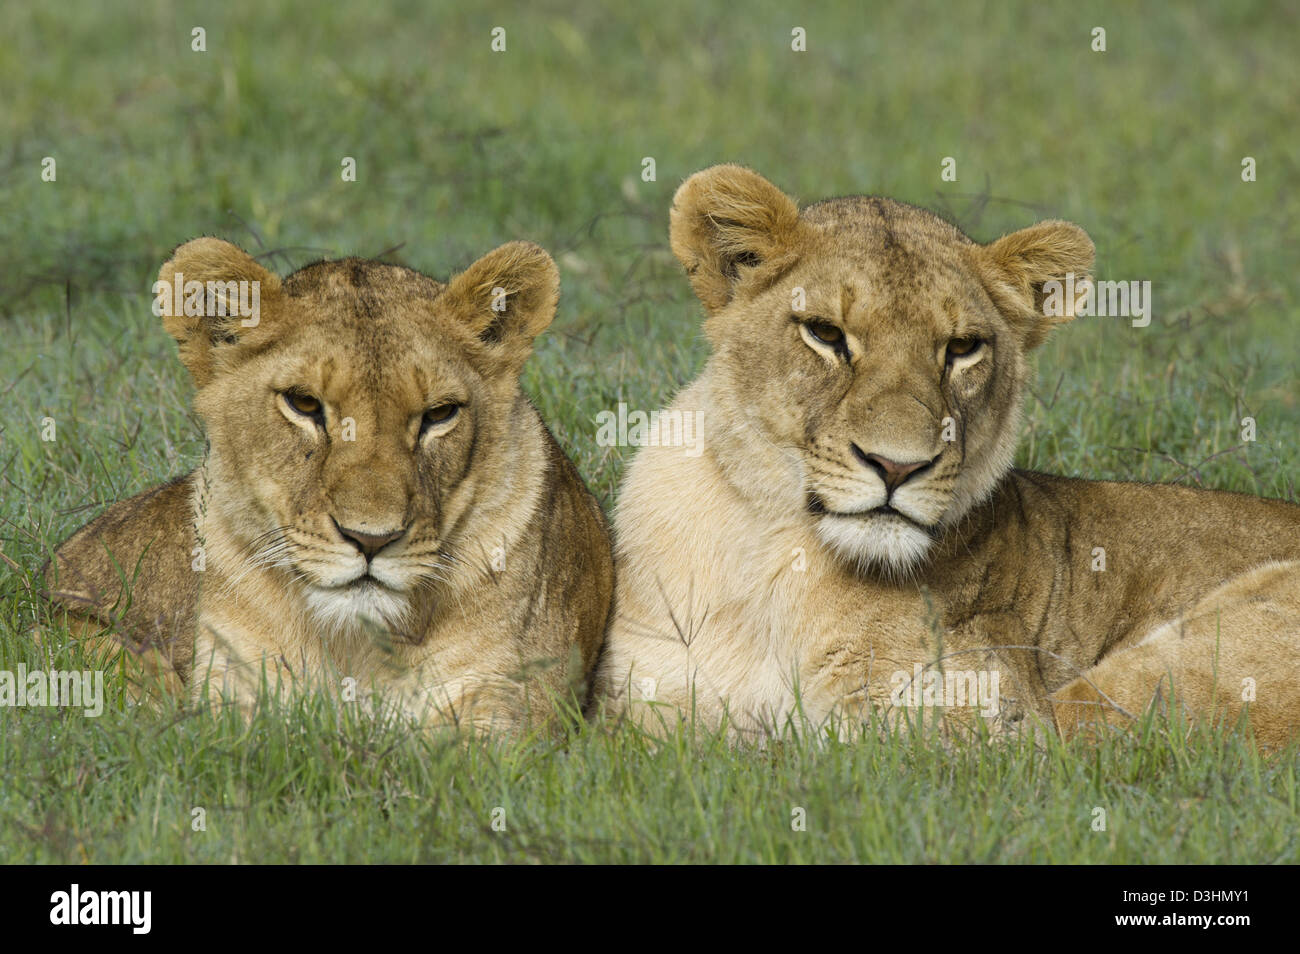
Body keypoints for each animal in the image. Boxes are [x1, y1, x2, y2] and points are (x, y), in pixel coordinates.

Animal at [597, 164, 1300, 747]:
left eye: (962, 348)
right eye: (824, 333)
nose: (897, 467)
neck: (771, 561)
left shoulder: (997, 718)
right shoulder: (635, 694)